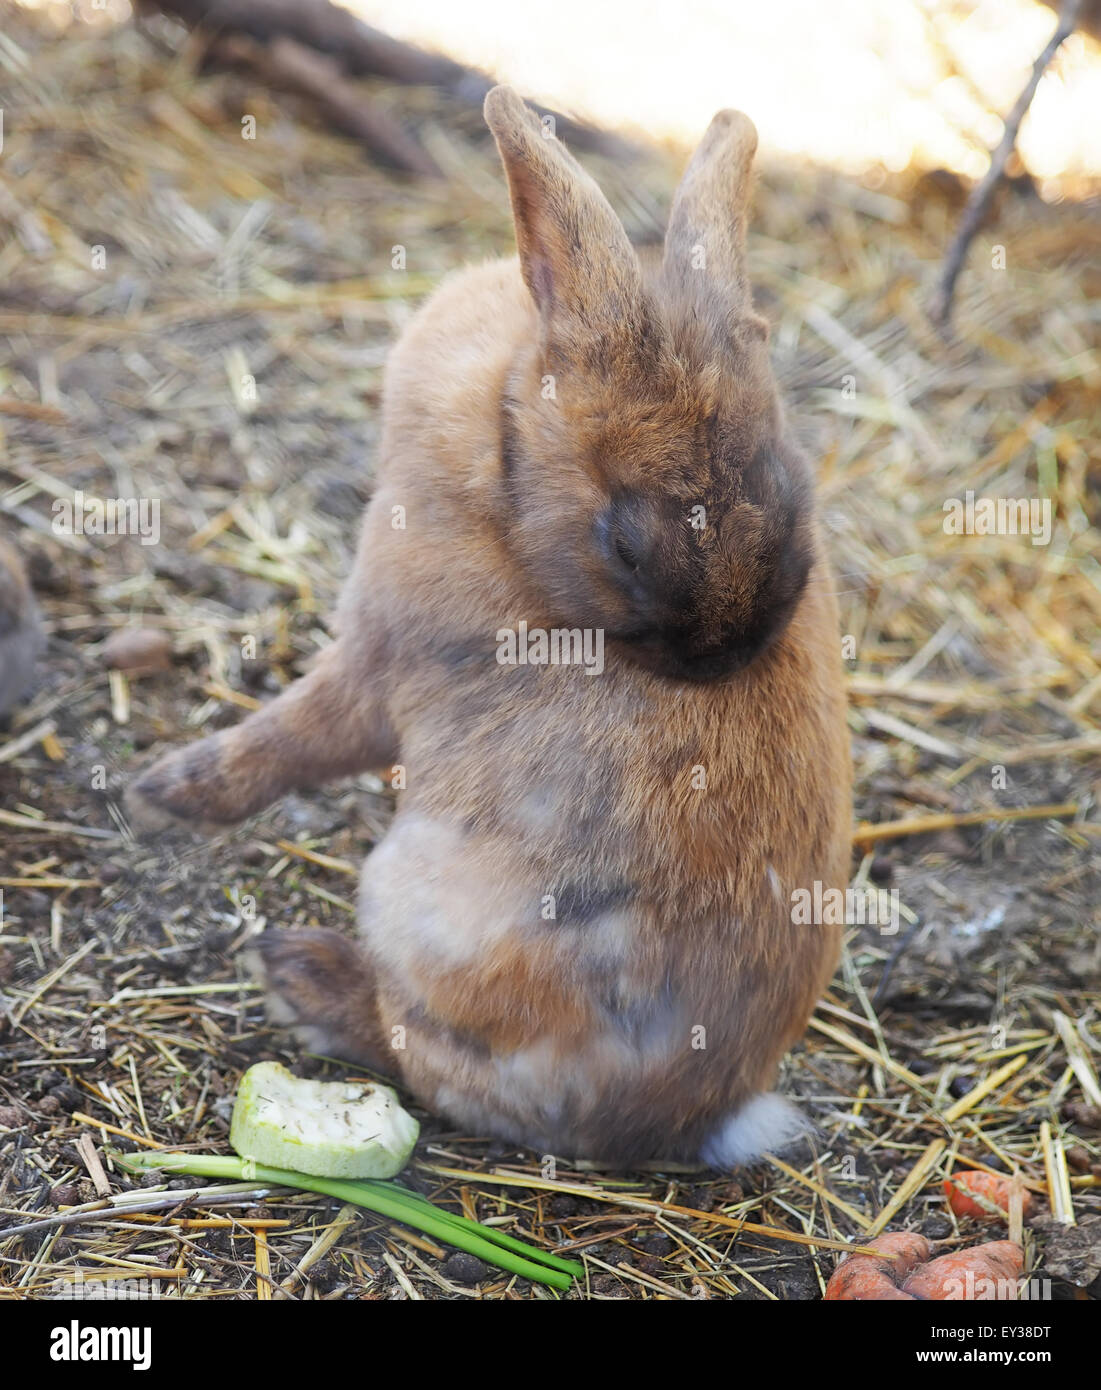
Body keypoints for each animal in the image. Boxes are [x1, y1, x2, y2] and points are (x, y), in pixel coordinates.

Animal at [127, 87, 851, 1167]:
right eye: (625, 542)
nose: (727, 656)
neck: (502, 445)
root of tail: (704, 1115)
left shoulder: (375, 661)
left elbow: (286, 740)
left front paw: (161, 793)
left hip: (414, 905)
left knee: (423, 1060)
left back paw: (301, 976)